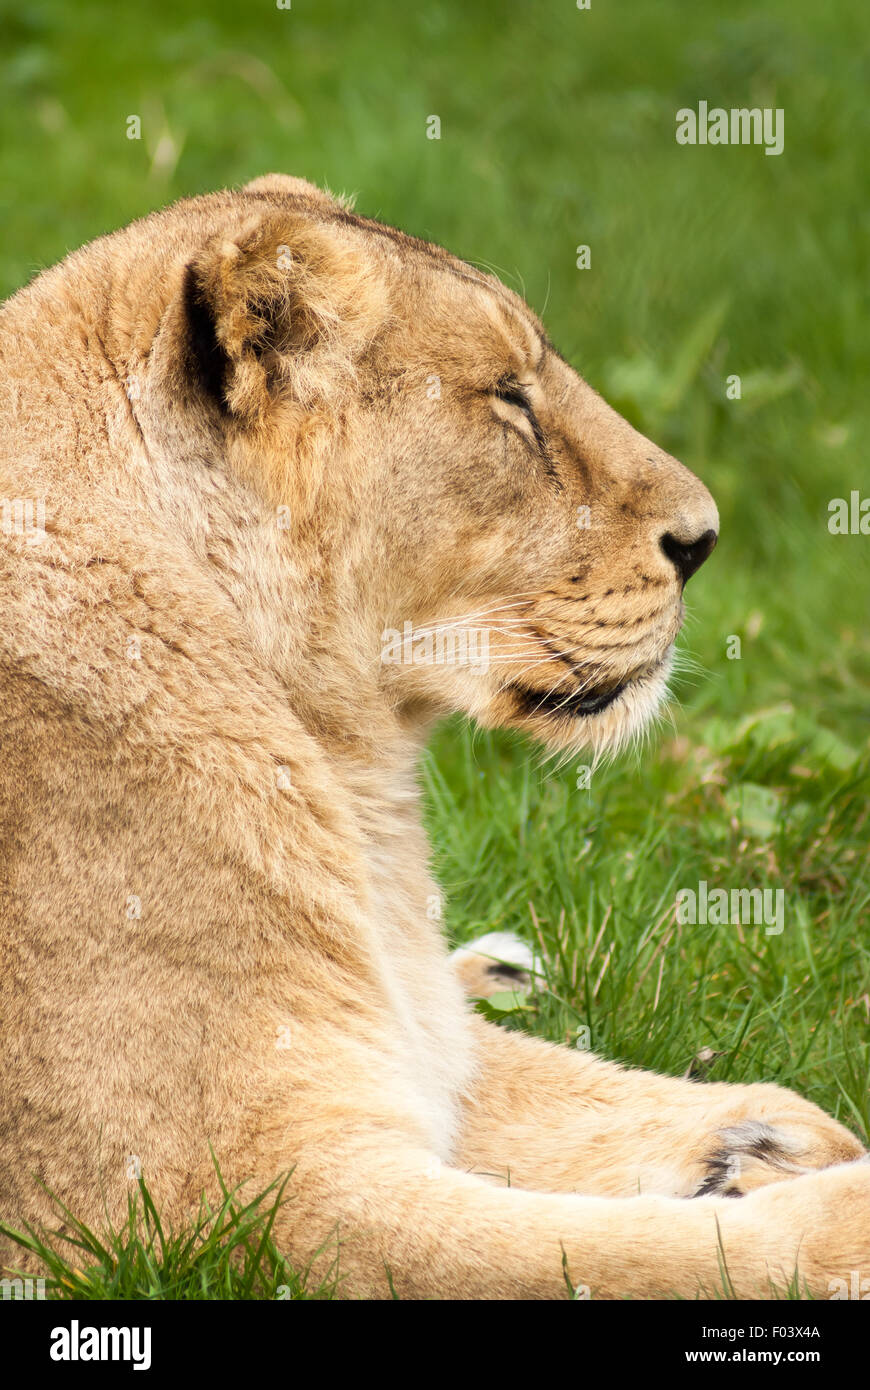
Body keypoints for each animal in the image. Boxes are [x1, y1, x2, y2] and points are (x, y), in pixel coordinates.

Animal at [0, 173, 867, 1300]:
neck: (346, 774)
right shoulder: (213, 1205)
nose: (704, 538)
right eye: (509, 398)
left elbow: (560, 1084)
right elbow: (606, 1254)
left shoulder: (390, 1049)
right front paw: (830, 1208)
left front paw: (771, 1138)